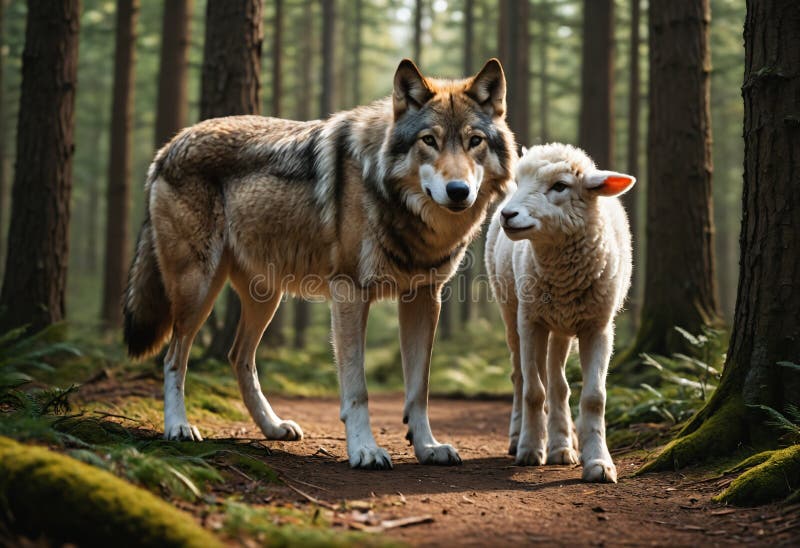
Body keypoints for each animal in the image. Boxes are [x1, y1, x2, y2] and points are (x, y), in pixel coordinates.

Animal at [124, 59, 516, 469]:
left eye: (475, 141)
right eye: (429, 140)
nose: (458, 191)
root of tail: (168, 146)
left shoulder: (424, 297)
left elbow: (418, 389)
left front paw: (428, 447)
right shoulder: (350, 292)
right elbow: (357, 389)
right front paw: (365, 450)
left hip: (266, 298)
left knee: (238, 357)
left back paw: (272, 427)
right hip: (198, 288)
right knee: (174, 357)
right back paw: (178, 427)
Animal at [485, 143, 635, 483]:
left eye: (560, 186)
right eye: (520, 181)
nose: (507, 215)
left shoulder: (598, 326)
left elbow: (594, 397)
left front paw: (599, 462)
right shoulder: (529, 320)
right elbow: (533, 390)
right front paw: (529, 449)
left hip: (562, 324)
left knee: (558, 383)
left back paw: (562, 446)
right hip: (511, 309)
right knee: (520, 377)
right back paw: (520, 437)